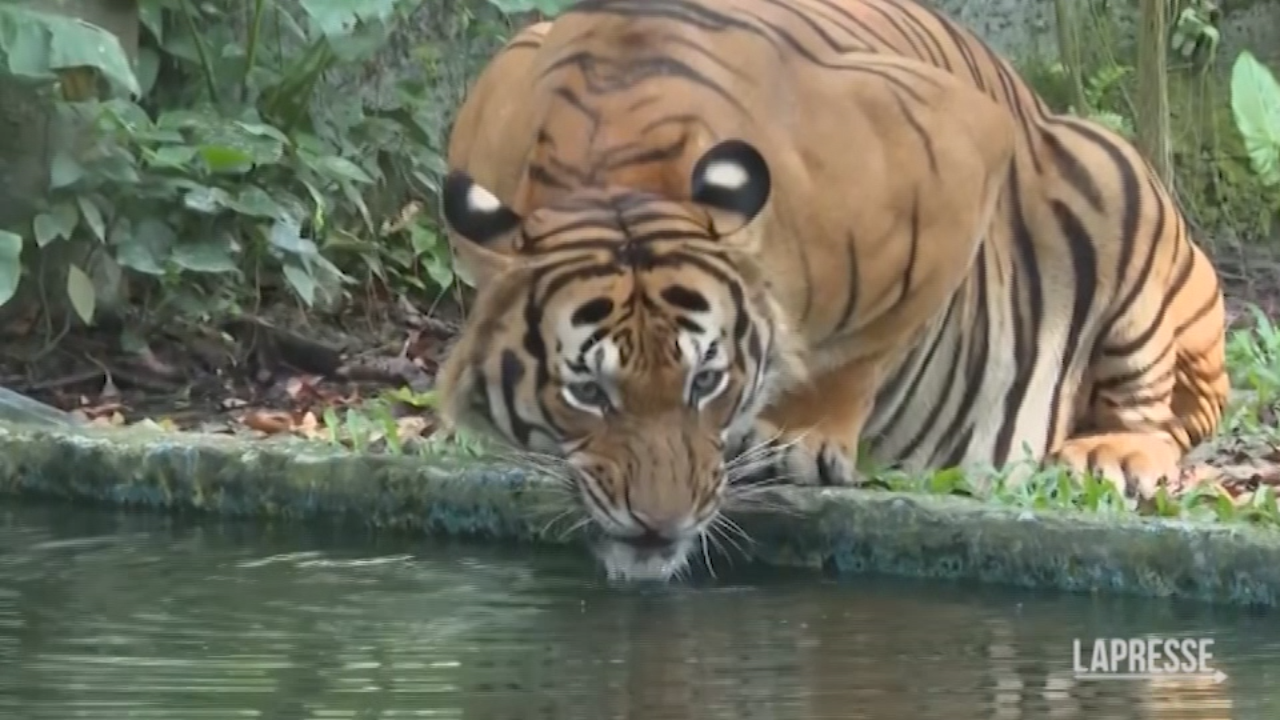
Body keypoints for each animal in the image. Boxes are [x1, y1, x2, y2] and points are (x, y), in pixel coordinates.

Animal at [434, 0, 1230, 582]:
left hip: (1111, 173)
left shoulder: (958, 146)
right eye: (588, 393)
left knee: (1161, 407)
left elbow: (861, 350)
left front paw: (802, 440)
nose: (661, 524)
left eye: (705, 381)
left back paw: (1111, 454)